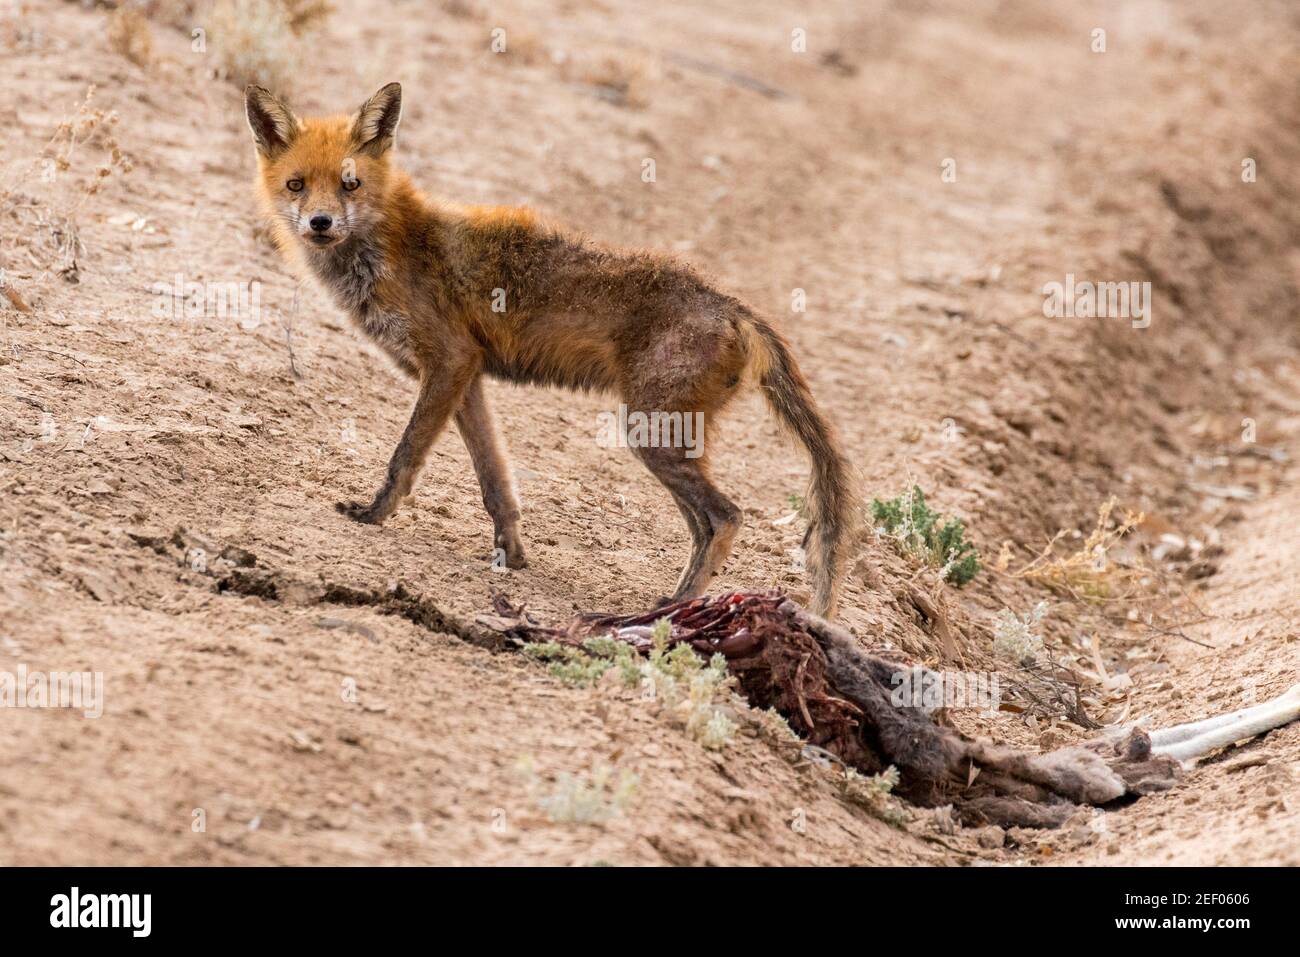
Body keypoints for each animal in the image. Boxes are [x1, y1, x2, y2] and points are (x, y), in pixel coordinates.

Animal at [244, 81, 858, 616]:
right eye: (298, 185)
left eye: (350, 185)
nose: (320, 223)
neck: (388, 246)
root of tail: (735, 306)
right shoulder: (466, 377)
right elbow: (495, 480)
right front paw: (511, 555)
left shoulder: (447, 362)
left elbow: (405, 458)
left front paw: (373, 516)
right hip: (668, 438)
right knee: (706, 523)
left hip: (651, 434)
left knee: (725, 517)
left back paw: (671, 610)